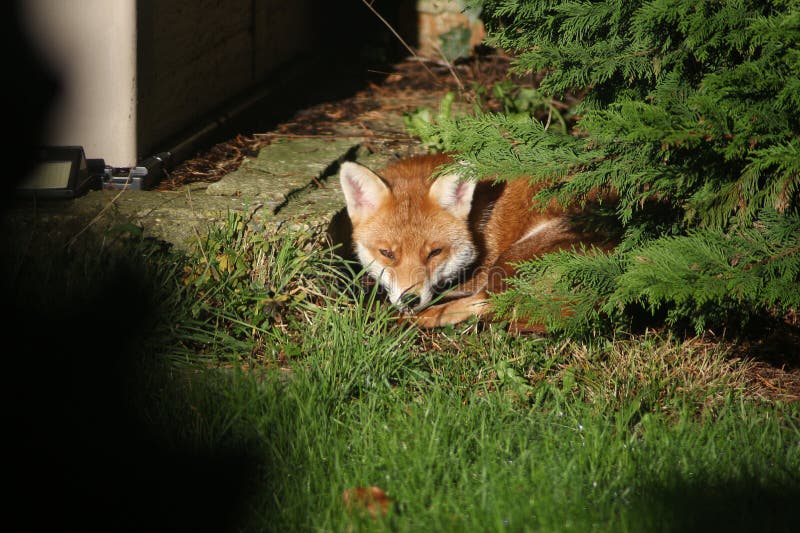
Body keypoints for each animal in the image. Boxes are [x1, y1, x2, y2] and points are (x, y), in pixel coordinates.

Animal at [336, 153, 615, 328]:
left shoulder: (481, 271)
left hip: (510, 260)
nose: (410, 300)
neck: (477, 221)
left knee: (487, 304)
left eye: (435, 252)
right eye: (387, 253)